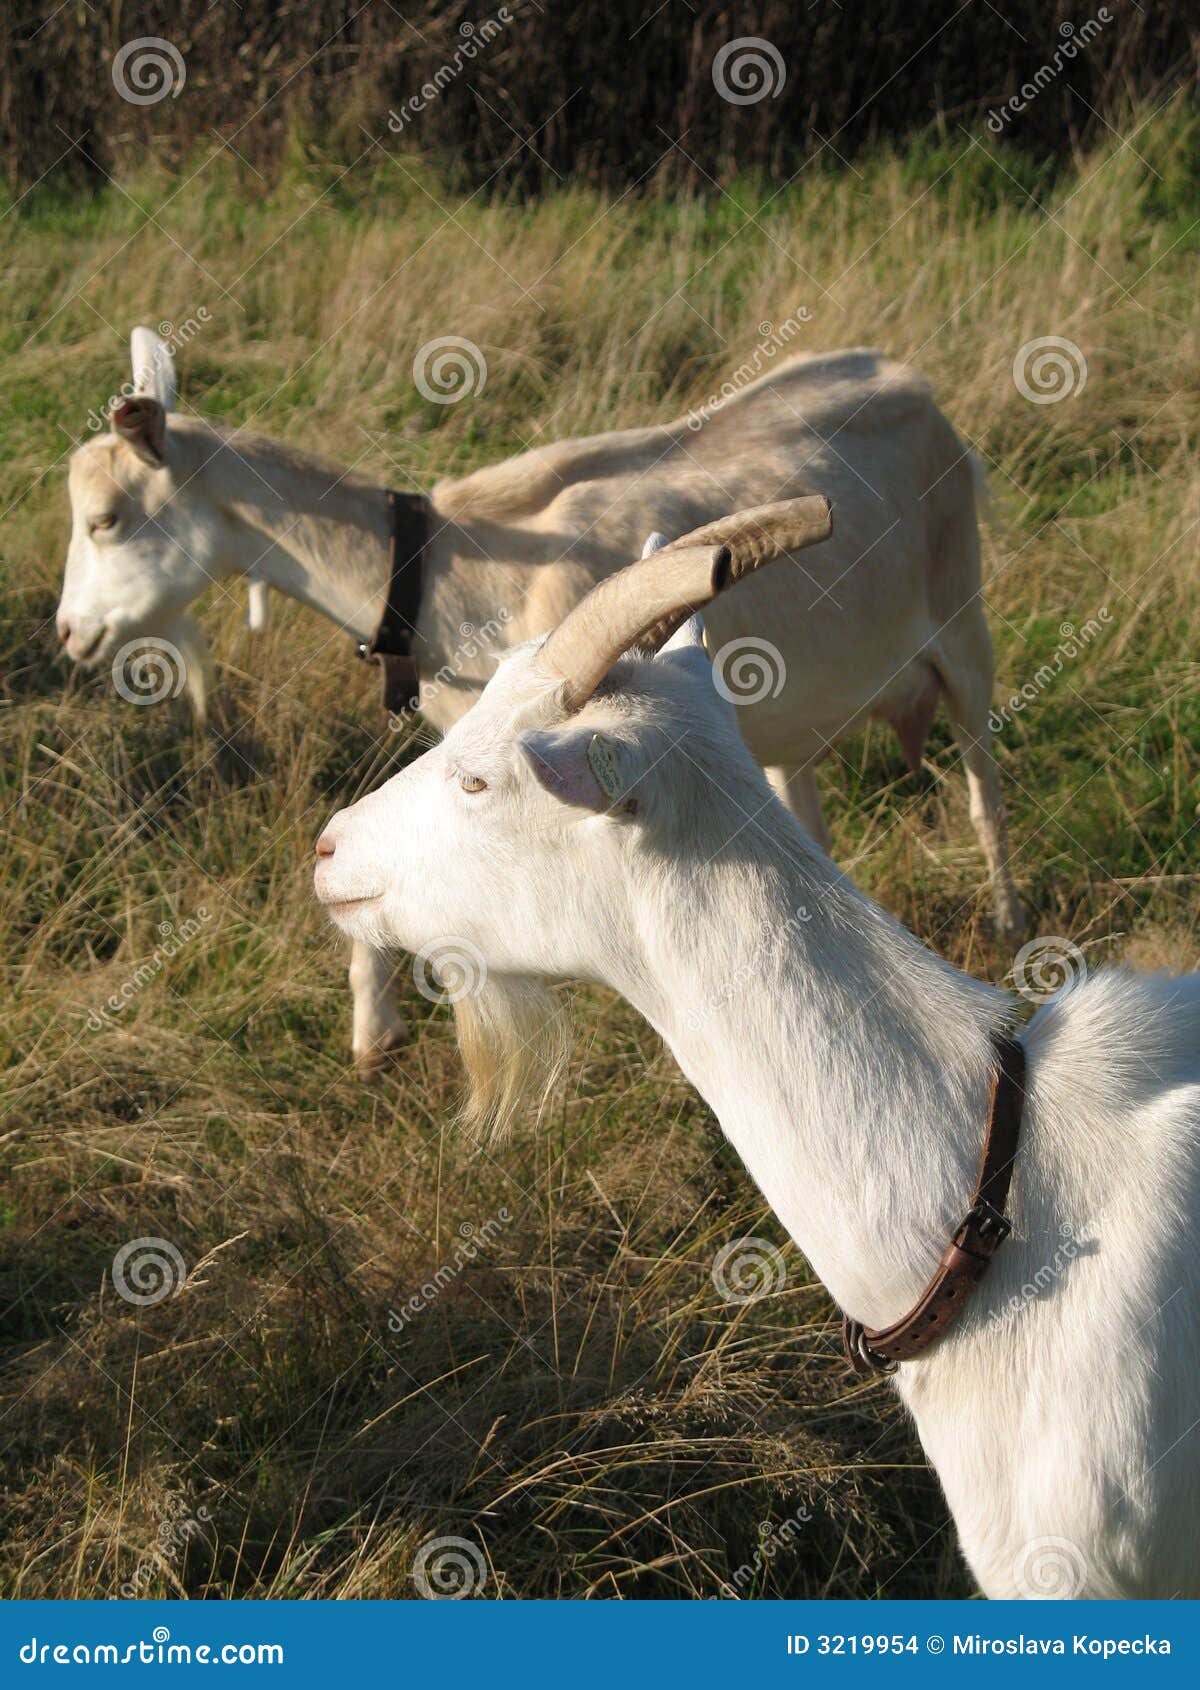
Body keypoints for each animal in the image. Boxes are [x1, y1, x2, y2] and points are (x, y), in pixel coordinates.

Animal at [59, 329, 1024, 1072]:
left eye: (106, 520)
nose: (71, 635)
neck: (454, 570)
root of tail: (910, 383)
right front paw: (374, 1034)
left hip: (966, 626)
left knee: (984, 786)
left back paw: (1013, 923)